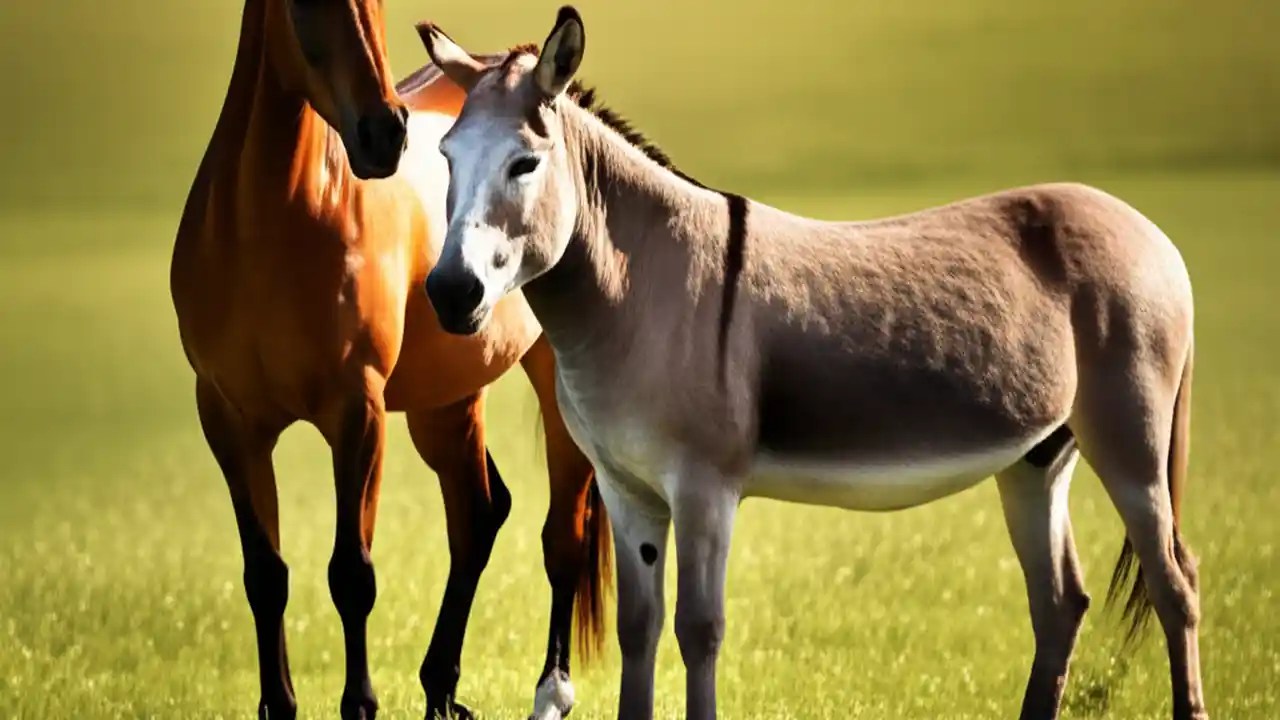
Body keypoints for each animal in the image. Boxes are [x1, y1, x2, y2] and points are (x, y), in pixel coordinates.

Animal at [169, 2, 609, 718]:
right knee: (478, 512)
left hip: (551, 387)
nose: (383, 135)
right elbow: (265, 575)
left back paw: (549, 689)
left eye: (376, 6)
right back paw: (440, 689)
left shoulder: (358, 414)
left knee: (561, 536)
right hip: (446, 402)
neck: (269, 229)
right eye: (301, 6)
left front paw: (360, 704)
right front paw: (279, 704)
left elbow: (352, 573)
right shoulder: (229, 420)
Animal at [414, 7, 1207, 719]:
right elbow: (638, 632)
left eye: (524, 163)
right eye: (445, 158)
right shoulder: (626, 489)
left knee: (1175, 585)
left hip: (1130, 444)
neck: (637, 289)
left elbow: (699, 630)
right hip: (1037, 457)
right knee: (1061, 601)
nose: (450, 294)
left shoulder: (705, 490)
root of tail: (1142, 226)